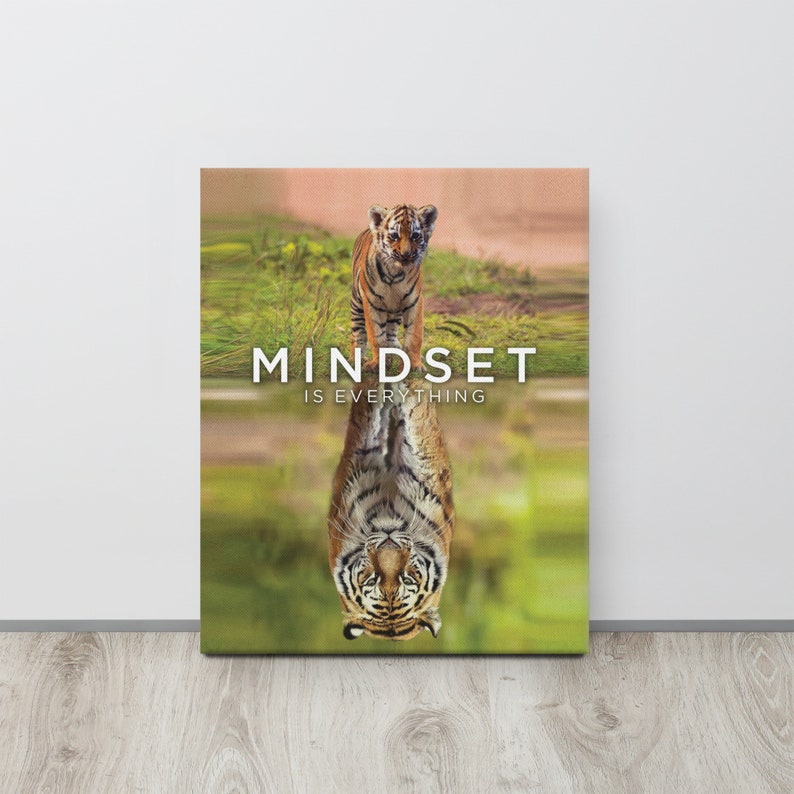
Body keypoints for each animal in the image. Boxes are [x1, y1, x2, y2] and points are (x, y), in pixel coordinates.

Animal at [350, 204, 438, 370]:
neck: (394, 273)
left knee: (391, 333)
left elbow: (414, 336)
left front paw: (416, 365)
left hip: (395, 311)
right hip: (357, 304)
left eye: (415, 236)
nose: (406, 254)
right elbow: (376, 336)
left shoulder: (414, 301)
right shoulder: (372, 302)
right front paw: (377, 364)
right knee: (358, 333)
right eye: (394, 236)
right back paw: (356, 359)